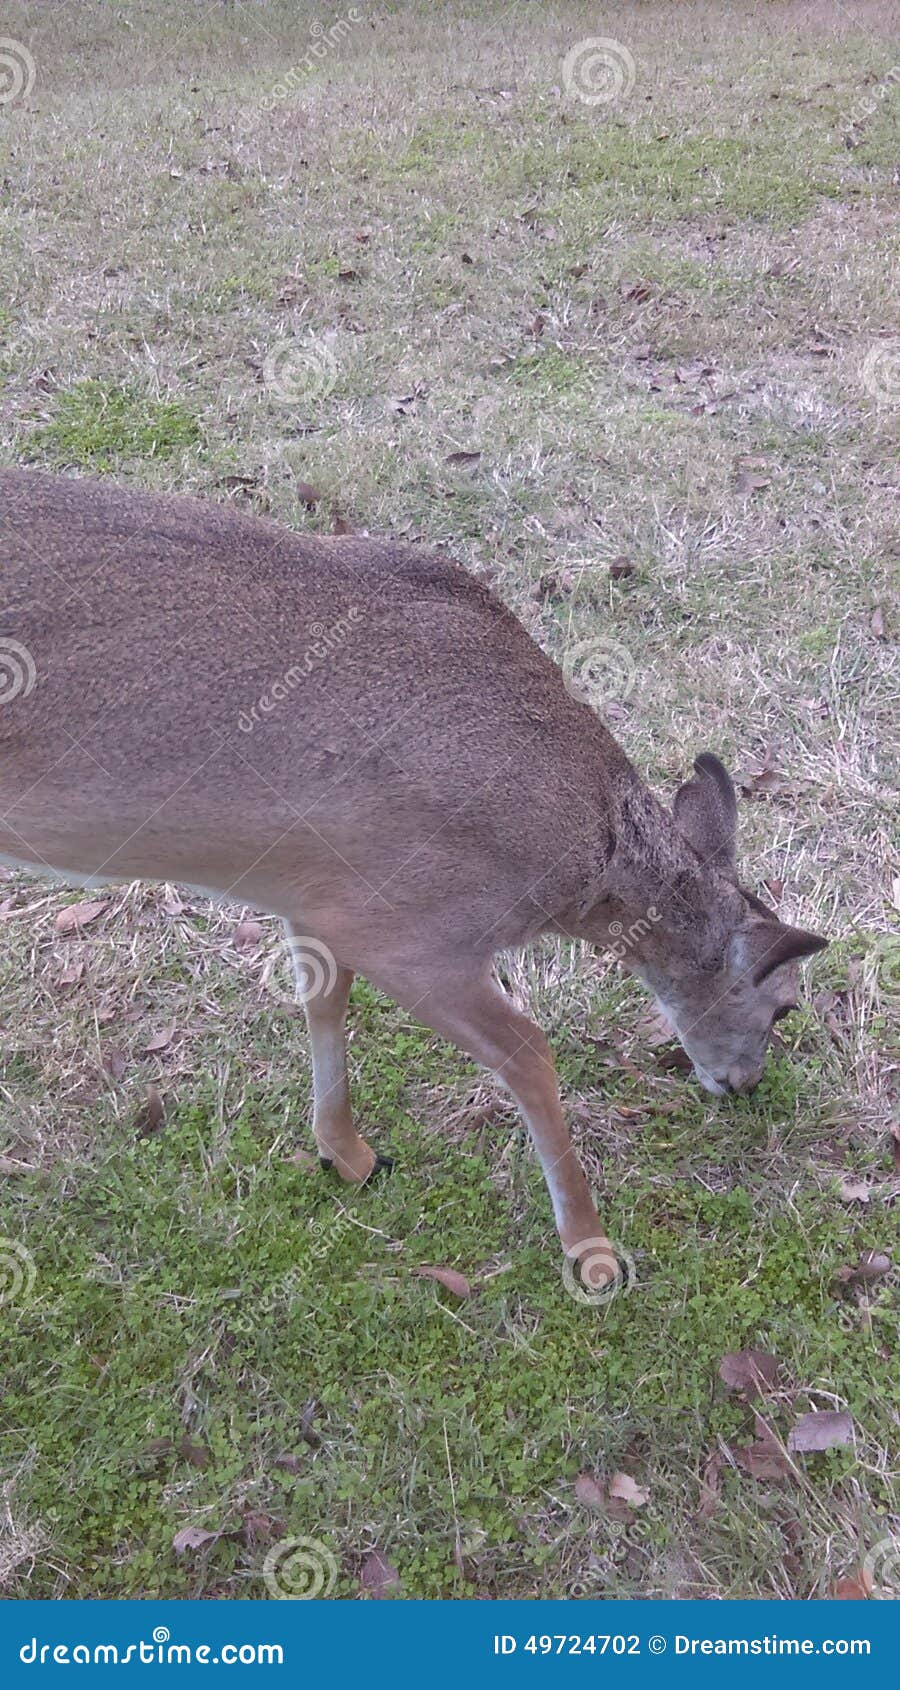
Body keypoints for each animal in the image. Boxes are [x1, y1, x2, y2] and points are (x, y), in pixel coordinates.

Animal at [0, 469, 826, 1294]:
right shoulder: (413, 928)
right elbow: (529, 1053)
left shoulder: (319, 900)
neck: (577, 863)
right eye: (784, 1005)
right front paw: (591, 1252)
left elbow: (323, 1001)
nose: (745, 1084)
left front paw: (347, 1154)